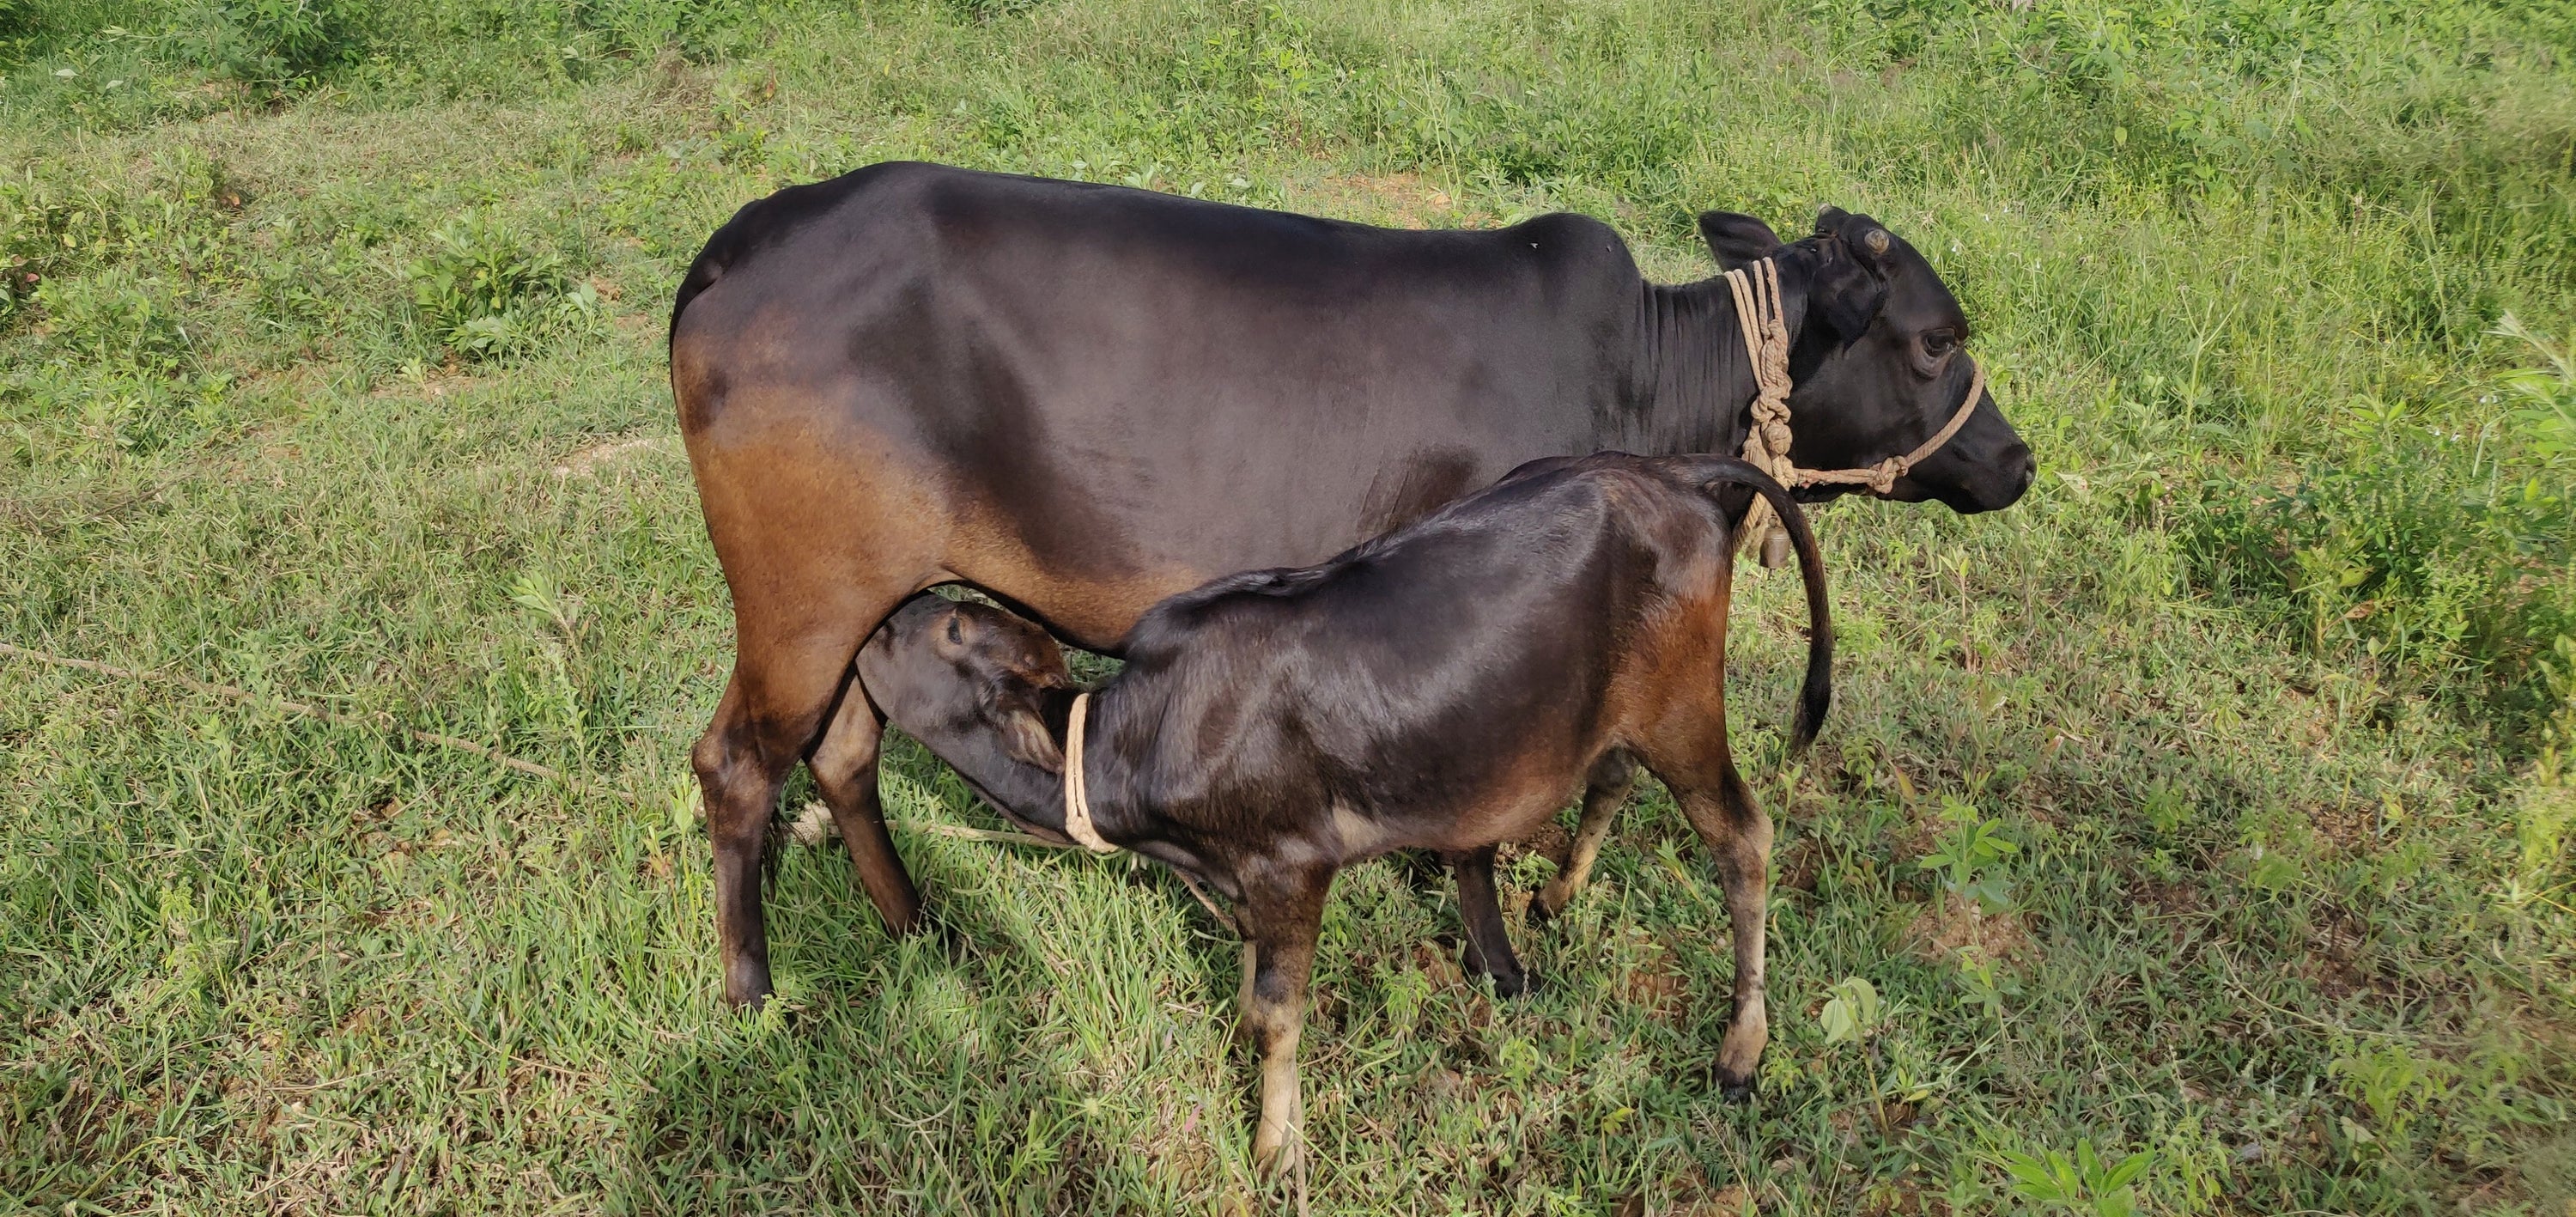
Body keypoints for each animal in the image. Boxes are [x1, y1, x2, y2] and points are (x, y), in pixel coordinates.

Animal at [669, 161, 2034, 1008]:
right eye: (1935, 340)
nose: (2017, 461)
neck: (1653, 381)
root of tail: (742, 239)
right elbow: (1490, 828)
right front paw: (1504, 963)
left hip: (866, 602)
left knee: (843, 752)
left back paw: (919, 926)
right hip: (802, 595)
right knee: (738, 763)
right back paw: (753, 995)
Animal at [851, 451, 1831, 1172]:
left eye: (953, 632)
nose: (880, 623)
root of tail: (1676, 472)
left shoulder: (1291, 864)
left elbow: (1278, 1015)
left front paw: (1275, 1150)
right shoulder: (1250, 878)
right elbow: (1255, 990)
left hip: (1683, 710)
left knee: (1743, 841)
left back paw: (1740, 1051)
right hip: (1617, 712)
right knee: (1613, 778)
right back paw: (1557, 896)